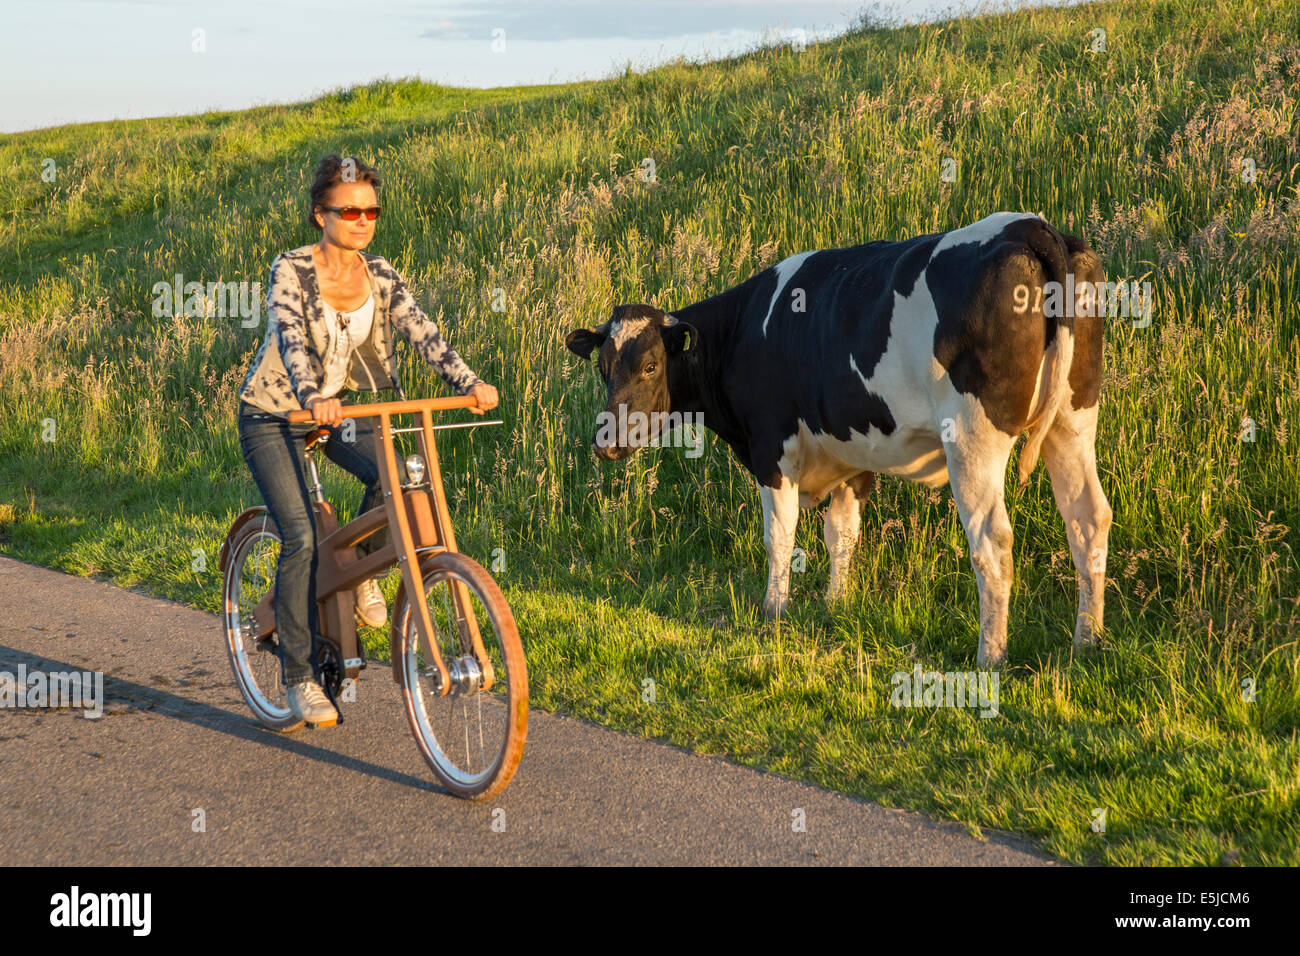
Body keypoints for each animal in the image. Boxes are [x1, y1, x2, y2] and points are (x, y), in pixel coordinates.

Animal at [565, 212, 1111, 668]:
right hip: (1073, 418)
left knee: (993, 540)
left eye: (650, 366)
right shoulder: (853, 454)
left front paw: (773, 610)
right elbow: (841, 534)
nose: (606, 443)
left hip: (974, 438)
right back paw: (1087, 642)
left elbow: (779, 535)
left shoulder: (772, 448)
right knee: (1089, 519)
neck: (745, 330)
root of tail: (1026, 225)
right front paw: (835, 605)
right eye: (603, 368)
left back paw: (990, 656)